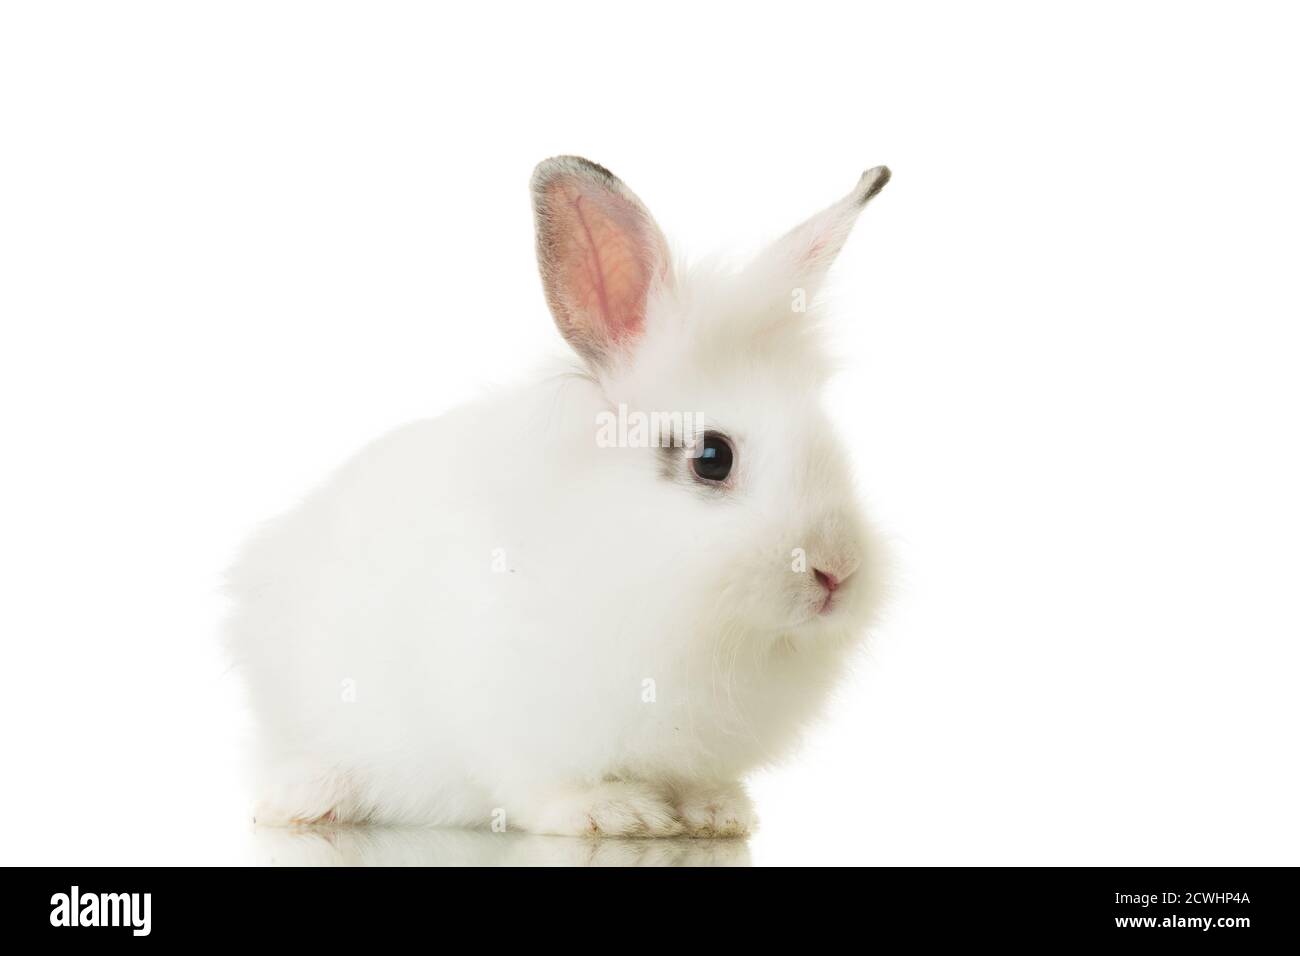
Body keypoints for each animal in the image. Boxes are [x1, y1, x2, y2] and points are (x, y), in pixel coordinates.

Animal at [224, 156, 891, 837]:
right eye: (712, 457)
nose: (837, 572)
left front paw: (717, 813)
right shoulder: (508, 709)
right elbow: (540, 784)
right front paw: (617, 813)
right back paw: (307, 799)